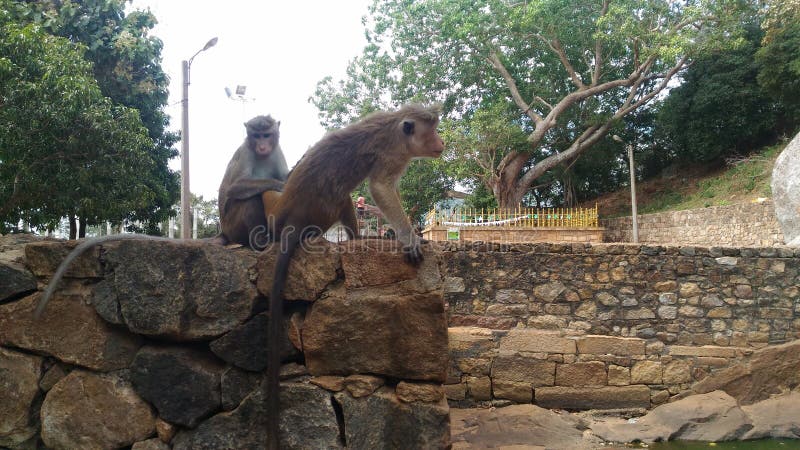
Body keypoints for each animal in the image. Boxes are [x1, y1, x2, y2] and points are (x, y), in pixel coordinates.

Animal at [217, 115, 289, 249]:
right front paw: (281, 185)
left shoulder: (277, 150)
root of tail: (224, 230)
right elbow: (235, 186)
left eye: (266, 135)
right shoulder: (246, 151)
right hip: (232, 227)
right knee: (250, 198)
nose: (262, 147)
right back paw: (259, 241)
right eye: (256, 136)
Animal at [263, 103, 445, 450]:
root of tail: (290, 221)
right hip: (322, 212)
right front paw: (408, 238)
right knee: (343, 196)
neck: (397, 129)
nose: (441, 142)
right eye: (433, 130)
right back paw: (358, 239)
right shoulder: (391, 155)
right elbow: (381, 189)